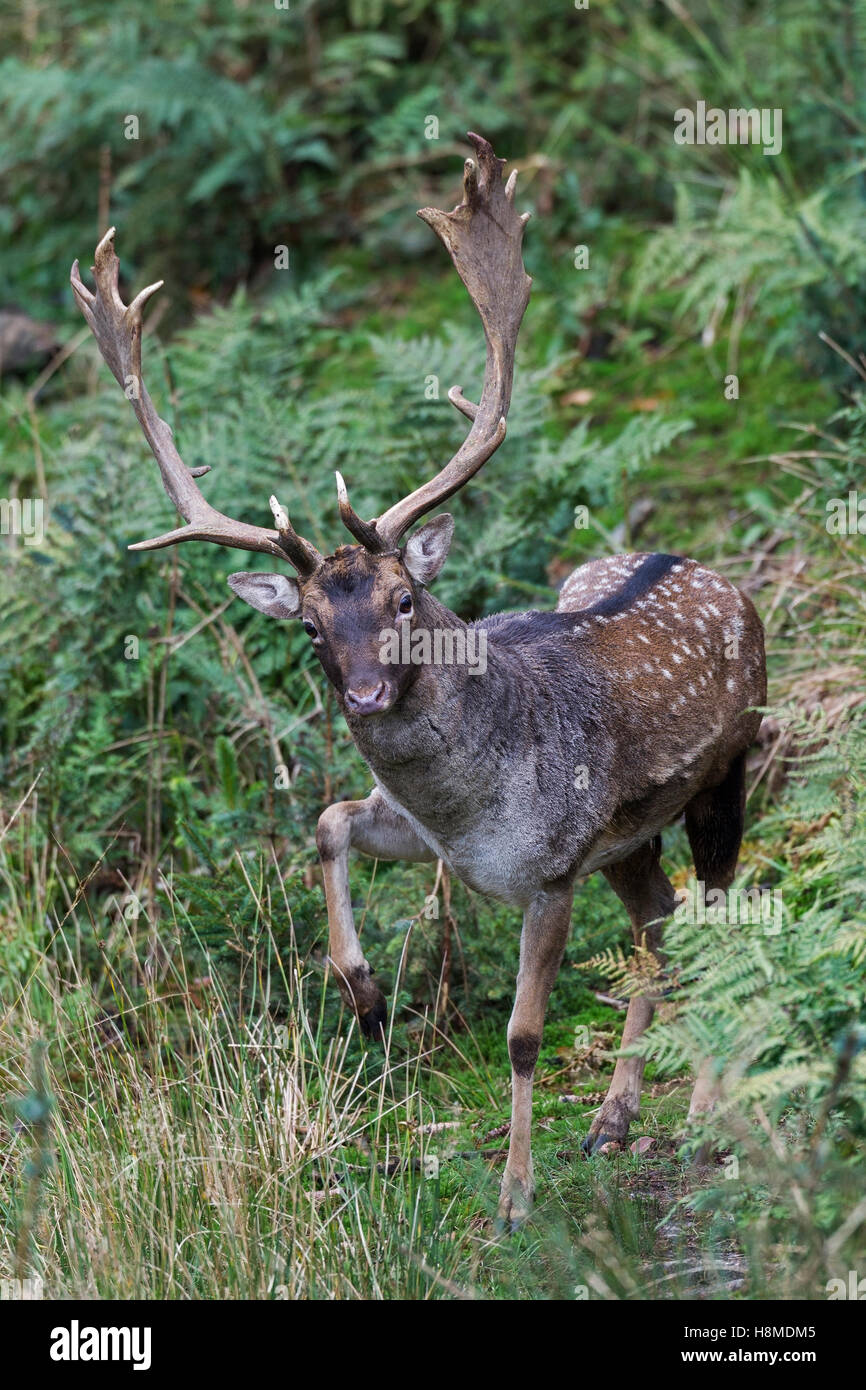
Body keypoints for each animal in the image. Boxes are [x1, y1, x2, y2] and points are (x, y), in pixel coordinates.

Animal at [71, 133, 766, 1227]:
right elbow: (327, 820)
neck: (474, 804)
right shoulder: (434, 833)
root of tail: (716, 572)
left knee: (717, 912)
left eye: (404, 598)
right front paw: (362, 995)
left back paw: (699, 1113)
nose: (362, 695)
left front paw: (515, 1196)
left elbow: (523, 1034)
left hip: (726, 768)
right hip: (630, 837)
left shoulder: (553, 867)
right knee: (658, 921)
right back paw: (614, 1118)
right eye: (310, 625)